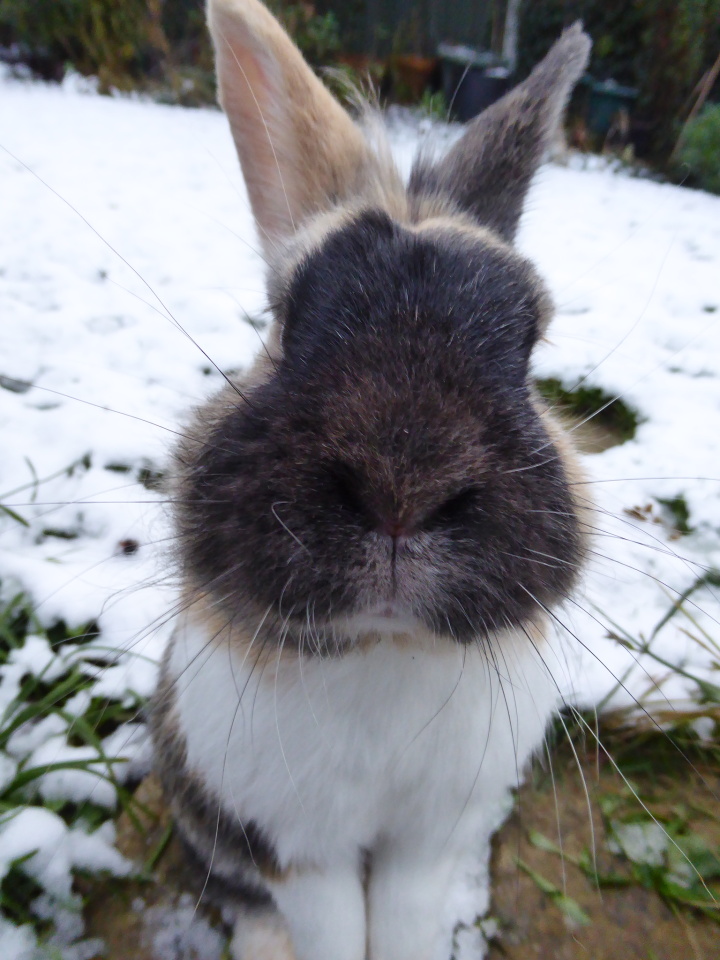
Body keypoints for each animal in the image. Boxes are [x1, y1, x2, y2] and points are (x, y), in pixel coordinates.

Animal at [150, 2, 592, 959]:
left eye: (531, 339)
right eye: (282, 315)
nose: (403, 488)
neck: (387, 649)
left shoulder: (430, 836)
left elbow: (403, 920)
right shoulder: (296, 844)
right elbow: (326, 926)